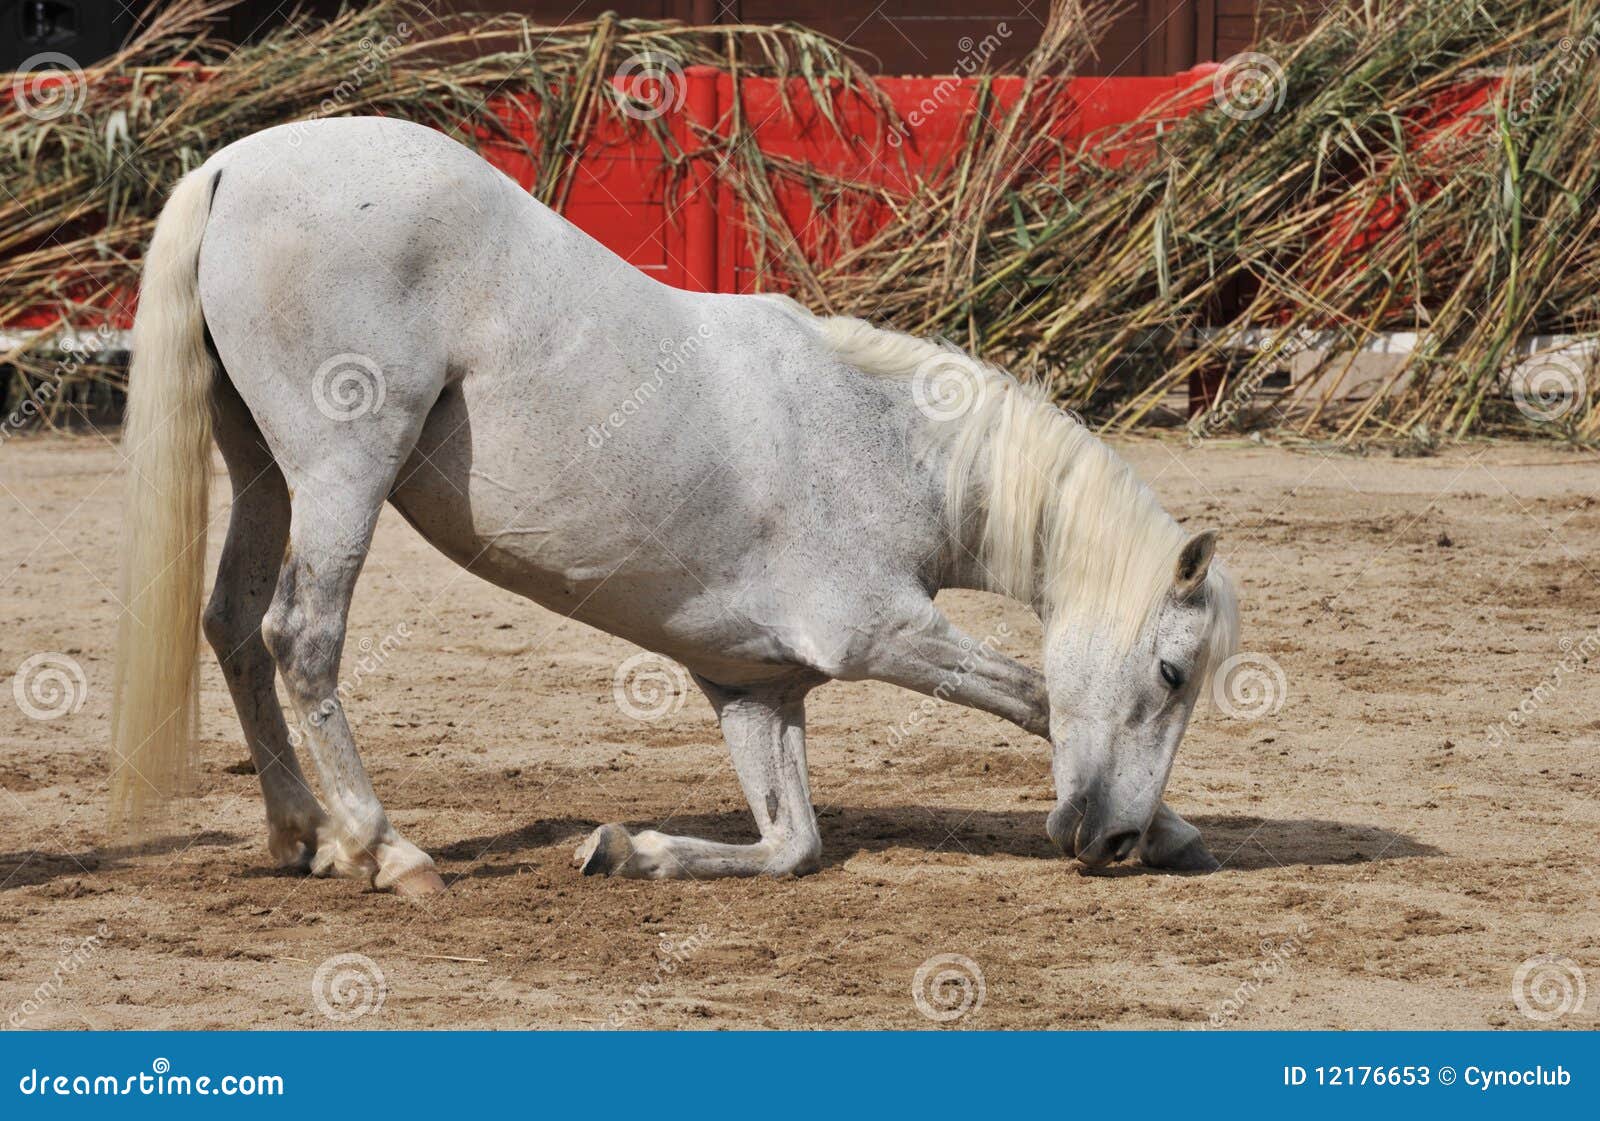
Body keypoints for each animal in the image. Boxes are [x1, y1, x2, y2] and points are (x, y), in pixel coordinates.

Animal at [111, 116, 1239, 897]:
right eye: (1172, 673)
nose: (1110, 840)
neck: (885, 440)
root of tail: (232, 166)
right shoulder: (878, 632)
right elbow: (1034, 696)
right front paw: (1174, 826)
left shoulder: (751, 686)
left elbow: (791, 844)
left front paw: (627, 849)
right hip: (343, 471)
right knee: (300, 637)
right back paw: (388, 850)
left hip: (264, 468)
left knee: (234, 627)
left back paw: (302, 834)